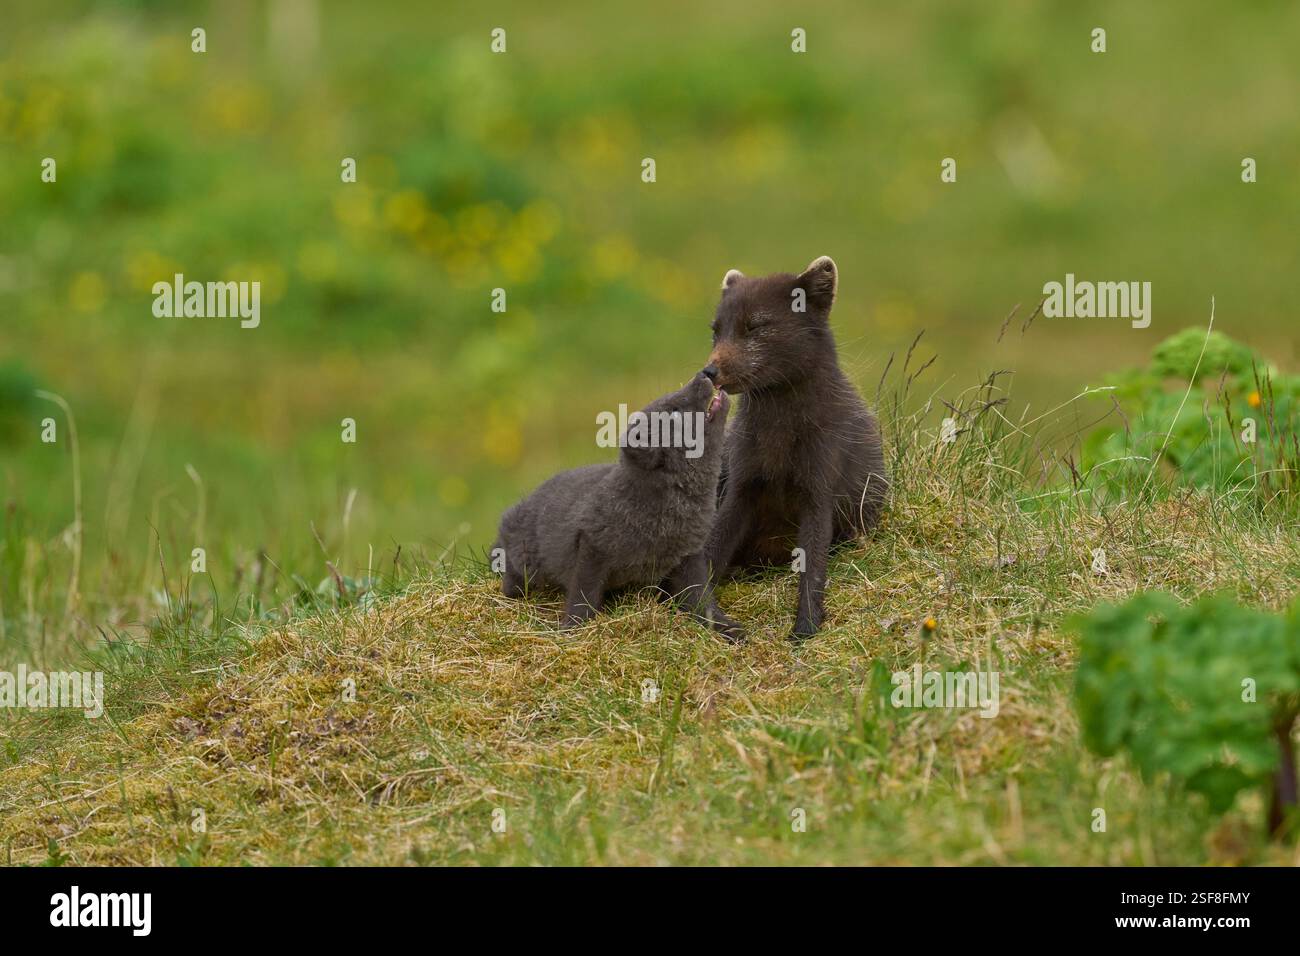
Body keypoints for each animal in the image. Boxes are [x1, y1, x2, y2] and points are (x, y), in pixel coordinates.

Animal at [494, 371, 745, 642]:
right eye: (675, 413)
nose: (703, 374)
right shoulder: (592, 547)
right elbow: (584, 596)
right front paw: (573, 628)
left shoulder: (690, 557)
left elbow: (703, 602)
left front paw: (727, 628)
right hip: (525, 563)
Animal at [703, 256, 888, 641]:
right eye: (716, 330)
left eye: (755, 327)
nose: (709, 371)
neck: (779, 434)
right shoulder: (743, 484)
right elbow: (713, 547)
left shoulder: (820, 488)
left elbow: (813, 564)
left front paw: (806, 627)